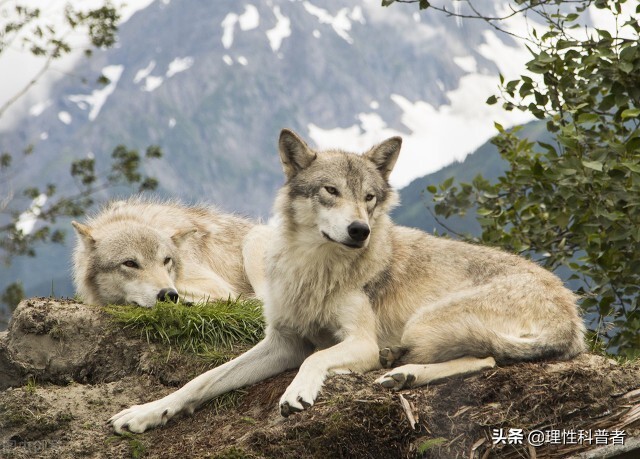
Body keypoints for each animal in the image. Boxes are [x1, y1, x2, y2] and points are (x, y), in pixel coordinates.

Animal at [109, 129, 585, 433]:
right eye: (331, 191)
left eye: (369, 197)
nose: (360, 230)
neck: (316, 268)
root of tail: (572, 314)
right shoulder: (282, 342)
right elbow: (202, 381)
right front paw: (147, 413)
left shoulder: (357, 343)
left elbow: (316, 359)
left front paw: (296, 393)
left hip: (425, 323)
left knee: (485, 359)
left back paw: (403, 373)